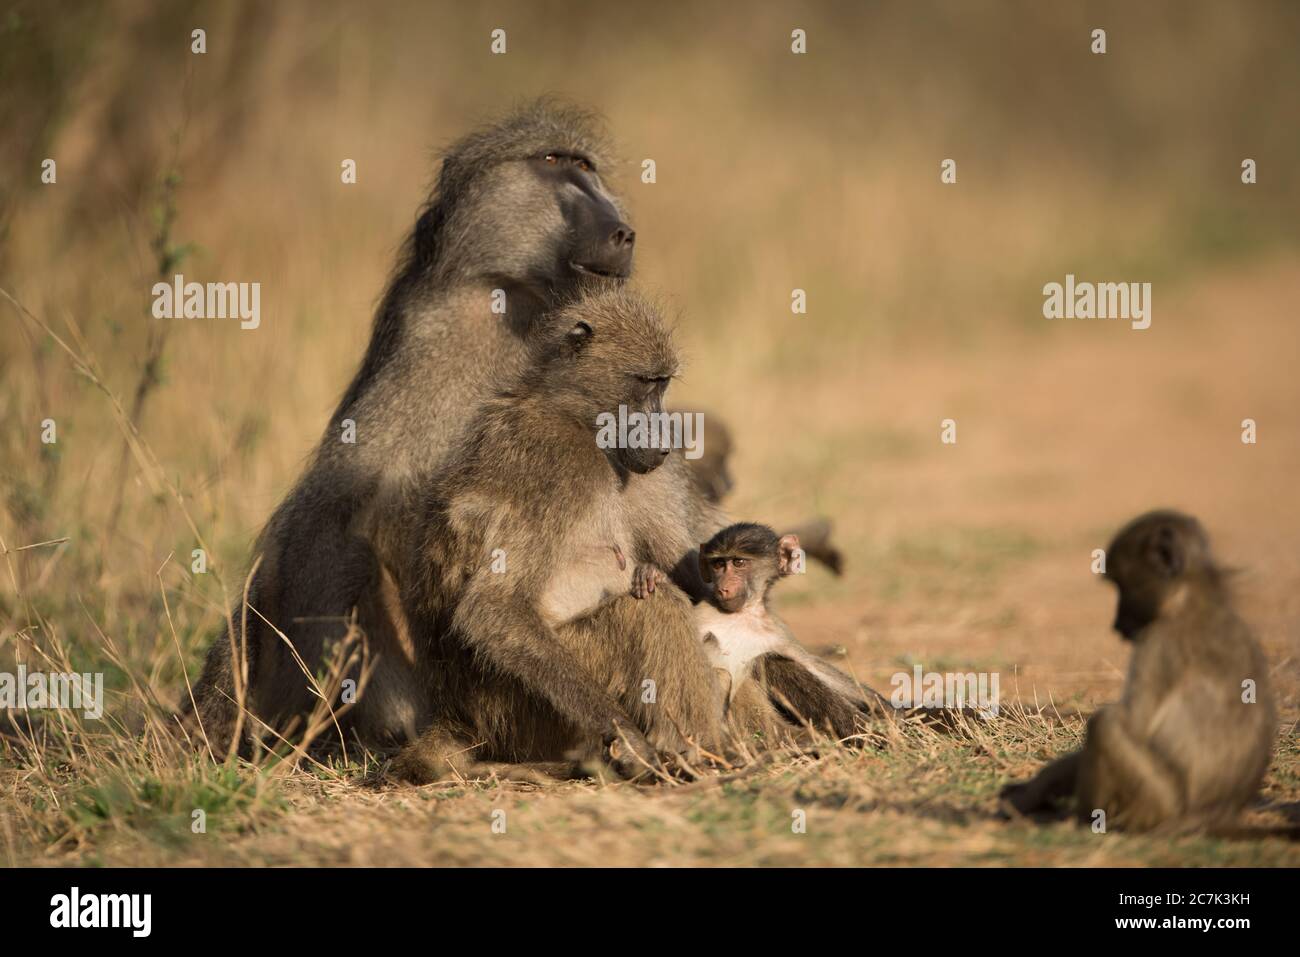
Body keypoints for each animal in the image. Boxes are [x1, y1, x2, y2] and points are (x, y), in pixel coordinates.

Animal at [184, 100, 665, 758]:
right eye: (552, 162)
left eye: (588, 167)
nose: (623, 231)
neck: (524, 303)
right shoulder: (434, 348)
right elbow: (346, 505)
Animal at [386, 285, 730, 784]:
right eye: (646, 383)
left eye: (663, 384)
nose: (664, 444)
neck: (578, 421)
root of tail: (457, 716)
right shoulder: (549, 466)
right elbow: (492, 611)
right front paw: (629, 738)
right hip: (521, 708)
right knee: (650, 611)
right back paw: (697, 757)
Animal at [1000, 510, 1276, 833]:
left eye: (1123, 585)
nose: (1116, 624)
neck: (1191, 594)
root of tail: (1206, 817)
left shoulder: (1157, 644)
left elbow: (1135, 724)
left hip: (1157, 804)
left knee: (1105, 724)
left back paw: (1084, 819)